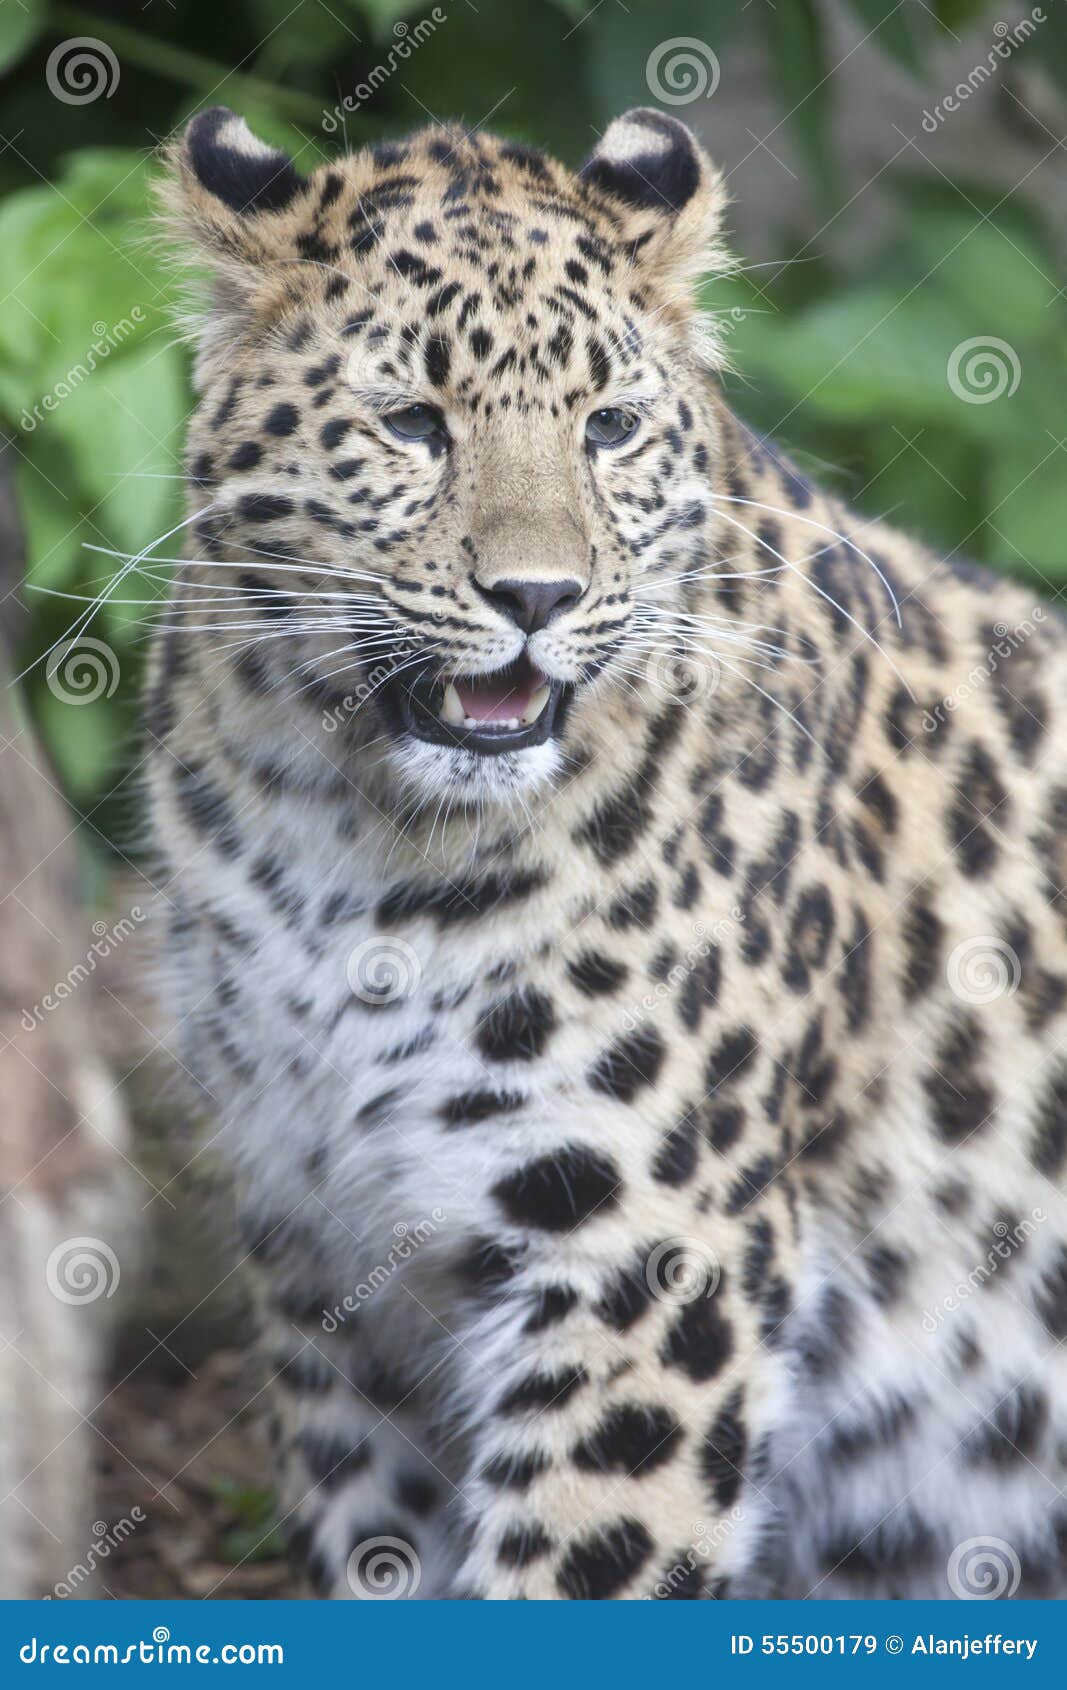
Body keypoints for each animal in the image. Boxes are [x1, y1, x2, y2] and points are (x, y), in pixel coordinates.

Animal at [144, 102, 1067, 1600]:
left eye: (609, 427)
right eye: (411, 422)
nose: (536, 595)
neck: (350, 833)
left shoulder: (649, 1251)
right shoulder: (321, 1247)